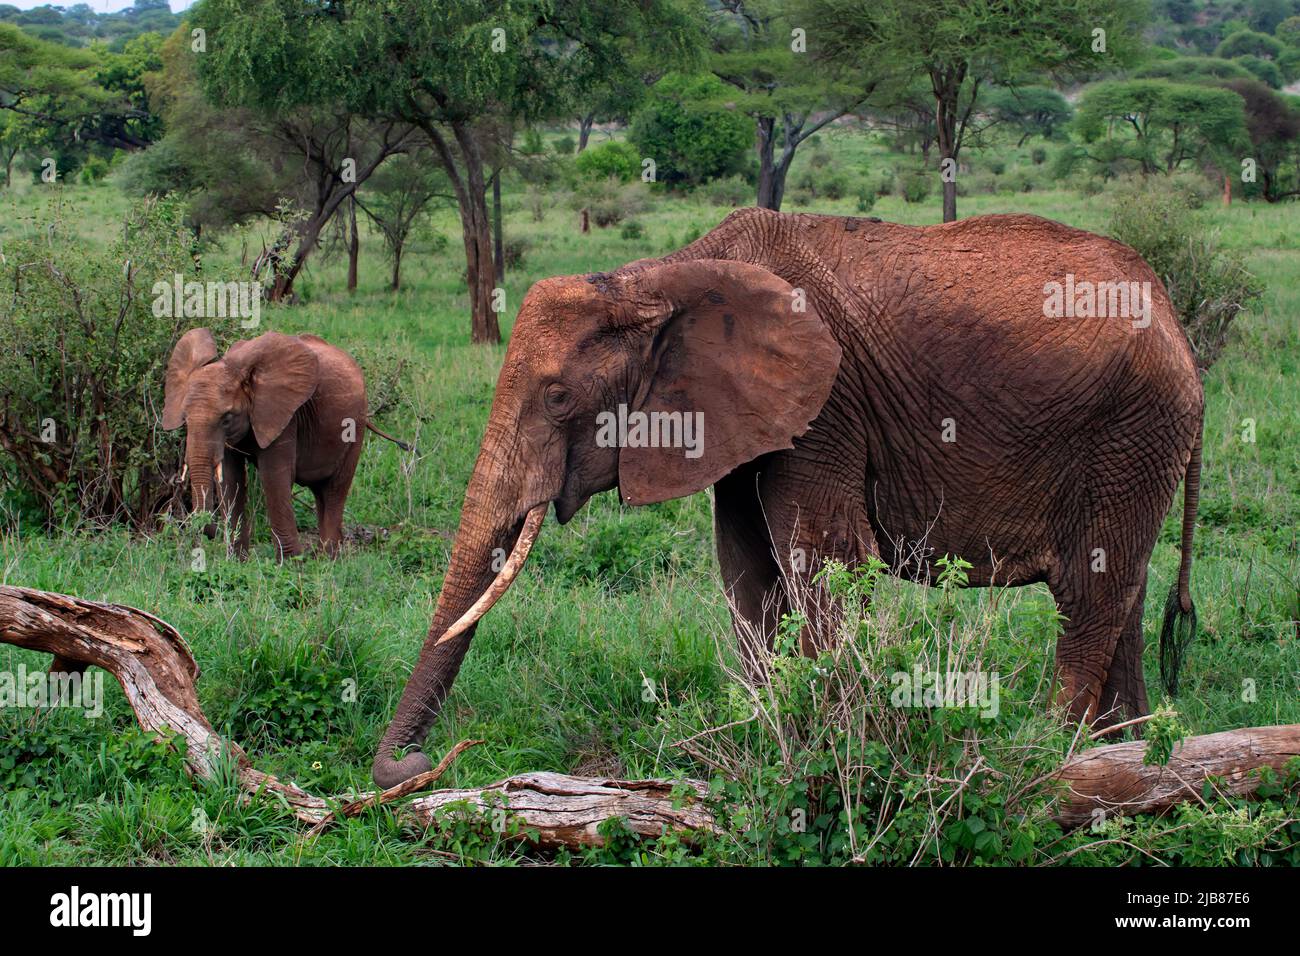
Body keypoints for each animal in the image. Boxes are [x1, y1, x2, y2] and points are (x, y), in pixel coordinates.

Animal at [163, 328, 404, 559]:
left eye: (227, 418)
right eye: (185, 417)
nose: (207, 529)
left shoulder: (285, 417)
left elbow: (274, 477)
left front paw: (290, 563)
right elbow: (231, 479)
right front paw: (237, 561)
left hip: (355, 427)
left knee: (335, 488)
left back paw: (328, 559)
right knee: (321, 492)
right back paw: (321, 557)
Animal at [372, 207, 1203, 789]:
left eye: (556, 397)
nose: (420, 767)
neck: (658, 278)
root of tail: (1175, 315)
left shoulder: (825, 408)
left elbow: (826, 564)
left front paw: (844, 755)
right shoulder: (745, 419)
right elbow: (750, 575)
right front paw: (776, 741)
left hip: (1130, 428)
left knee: (1088, 596)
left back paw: (1048, 758)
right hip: (1136, 447)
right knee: (1122, 597)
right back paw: (1129, 757)